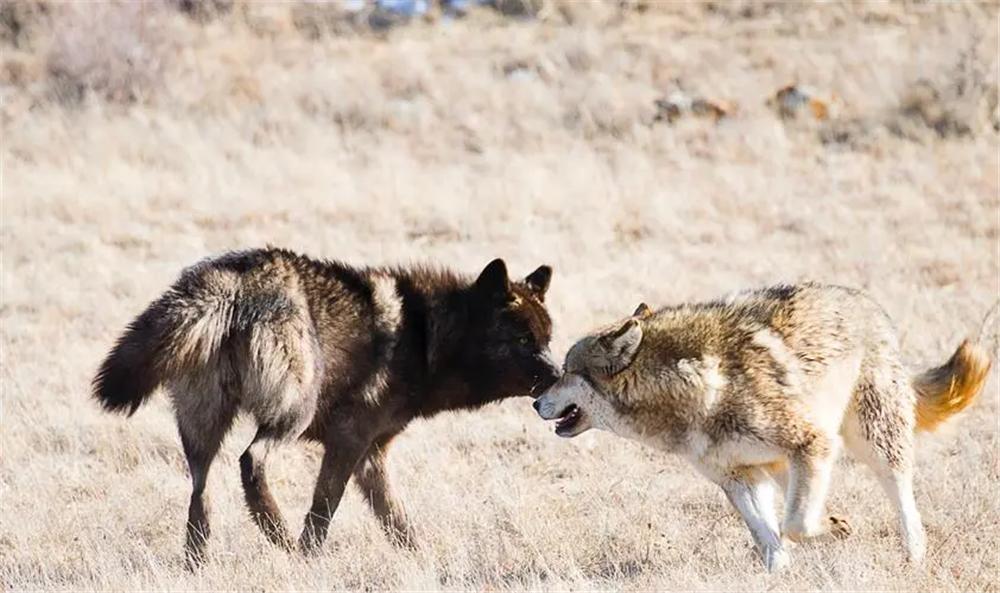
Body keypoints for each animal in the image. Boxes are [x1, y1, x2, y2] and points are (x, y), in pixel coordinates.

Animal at [92, 248, 561, 565]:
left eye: (547, 339)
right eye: (522, 340)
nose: (558, 375)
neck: (424, 335)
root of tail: (233, 284)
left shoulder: (372, 456)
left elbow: (399, 523)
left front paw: (424, 559)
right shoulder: (348, 441)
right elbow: (323, 511)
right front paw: (308, 557)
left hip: (203, 431)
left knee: (200, 495)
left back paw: (199, 563)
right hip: (292, 415)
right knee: (250, 461)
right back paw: (279, 537)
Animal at [534, 284, 992, 572]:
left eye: (566, 372)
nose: (536, 401)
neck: (696, 390)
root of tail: (867, 303)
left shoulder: (810, 442)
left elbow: (796, 525)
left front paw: (834, 530)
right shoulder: (737, 476)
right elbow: (767, 534)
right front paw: (778, 573)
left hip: (871, 441)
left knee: (901, 497)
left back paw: (913, 554)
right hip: (787, 468)